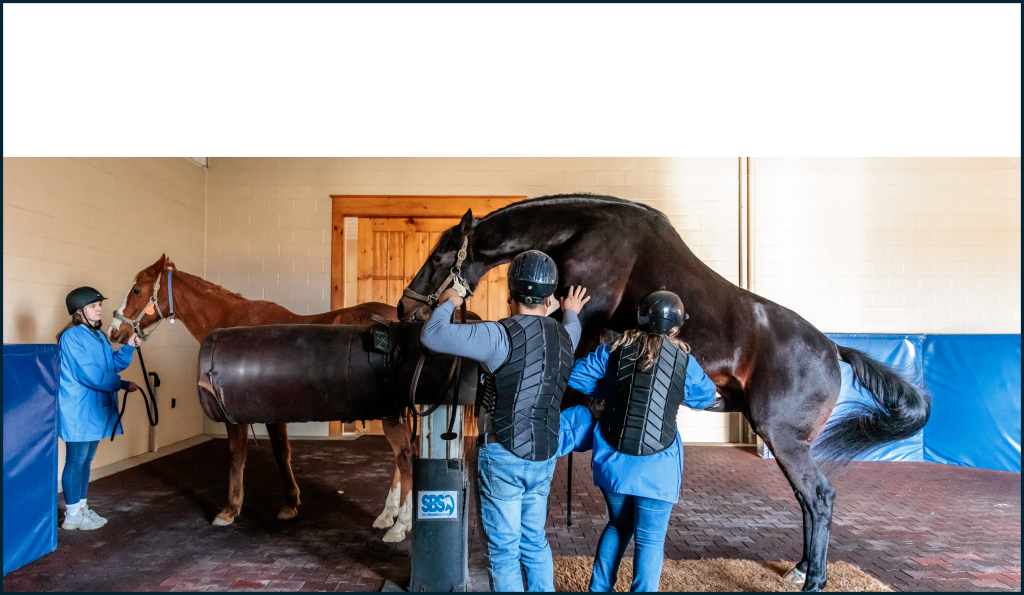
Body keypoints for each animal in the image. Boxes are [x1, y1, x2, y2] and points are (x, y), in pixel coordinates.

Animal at [107, 254, 417, 542]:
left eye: (137, 289)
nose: (113, 331)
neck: (230, 319)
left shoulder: (237, 414)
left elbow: (237, 455)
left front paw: (230, 509)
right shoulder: (272, 413)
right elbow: (281, 454)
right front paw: (290, 503)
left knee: (404, 457)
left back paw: (400, 525)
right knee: (399, 458)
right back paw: (388, 516)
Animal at [397, 194, 931, 592]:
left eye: (439, 257)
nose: (407, 308)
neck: (587, 231)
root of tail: (833, 348)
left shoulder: (580, 324)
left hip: (783, 437)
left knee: (819, 497)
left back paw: (814, 580)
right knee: (808, 501)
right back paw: (799, 569)